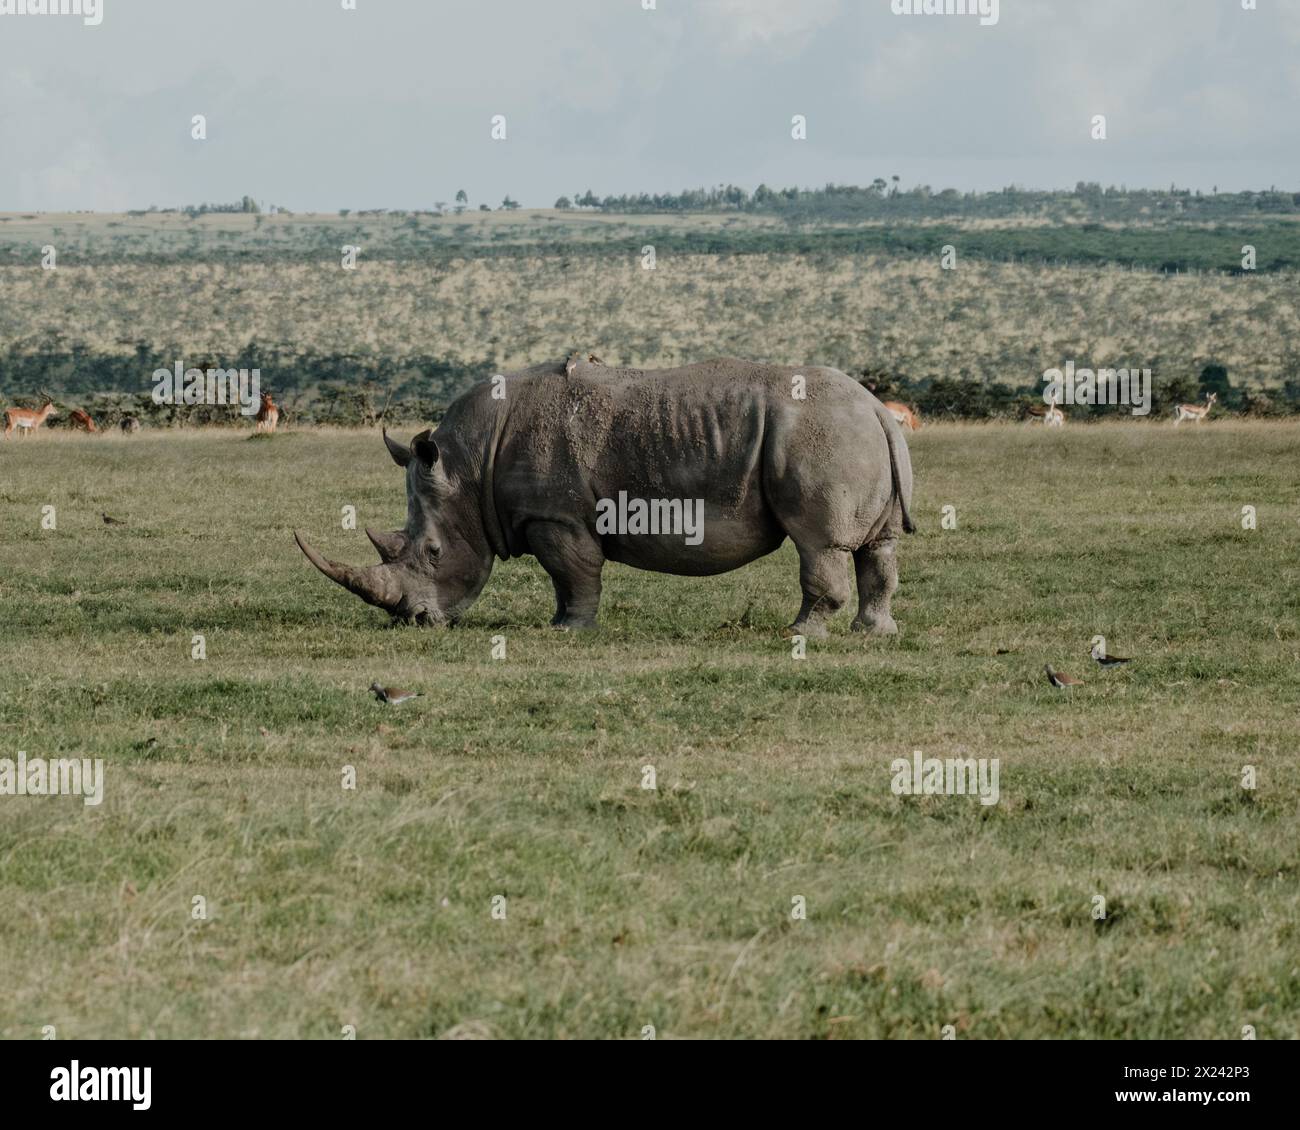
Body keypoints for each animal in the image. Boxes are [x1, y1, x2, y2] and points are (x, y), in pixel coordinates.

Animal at [295, 356, 915, 636]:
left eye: (432, 553)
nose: (415, 622)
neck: (467, 468)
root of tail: (879, 408)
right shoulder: (549, 516)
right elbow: (566, 577)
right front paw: (559, 625)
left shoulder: (557, 516)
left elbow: (574, 572)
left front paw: (569, 631)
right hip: (853, 434)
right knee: (878, 546)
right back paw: (872, 634)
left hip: (821, 434)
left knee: (818, 543)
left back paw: (800, 634)